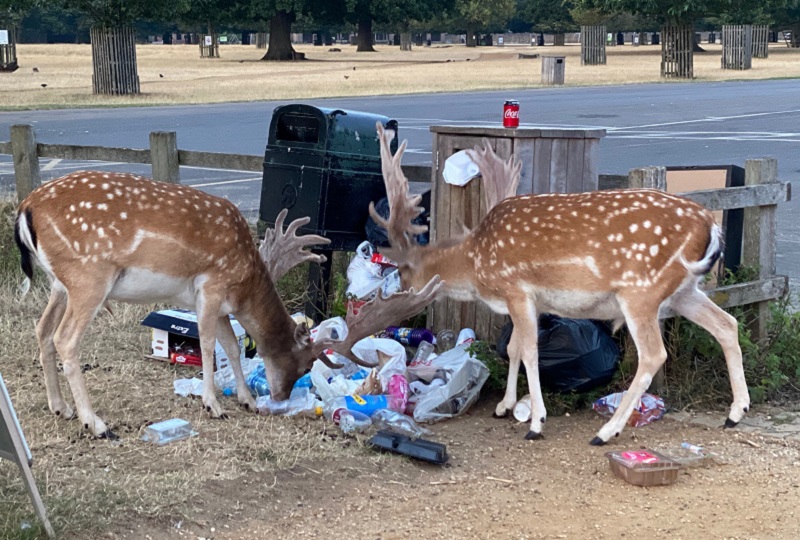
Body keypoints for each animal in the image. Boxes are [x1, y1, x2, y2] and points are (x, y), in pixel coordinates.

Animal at [14, 170, 441, 439]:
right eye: (305, 364)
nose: (281, 397)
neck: (245, 280)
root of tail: (25, 208)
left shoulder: (219, 303)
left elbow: (233, 346)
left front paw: (247, 399)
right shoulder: (212, 286)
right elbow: (206, 344)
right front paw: (213, 404)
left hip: (60, 283)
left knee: (42, 329)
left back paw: (61, 408)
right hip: (89, 276)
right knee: (66, 338)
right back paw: (96, 423)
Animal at [370, 122, 748, 445]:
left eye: (403, 270)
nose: (398, 295)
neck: (477, 265)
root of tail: (710, 224)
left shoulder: (516, 288)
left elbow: (530, 352)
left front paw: (536, 423)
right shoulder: (532, 301)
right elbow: (514, 348)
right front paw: (505, 406)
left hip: (641, 289)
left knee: (654, 354)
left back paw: (606, 432)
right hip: (684, 291)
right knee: (727, 323)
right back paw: (735, 413)